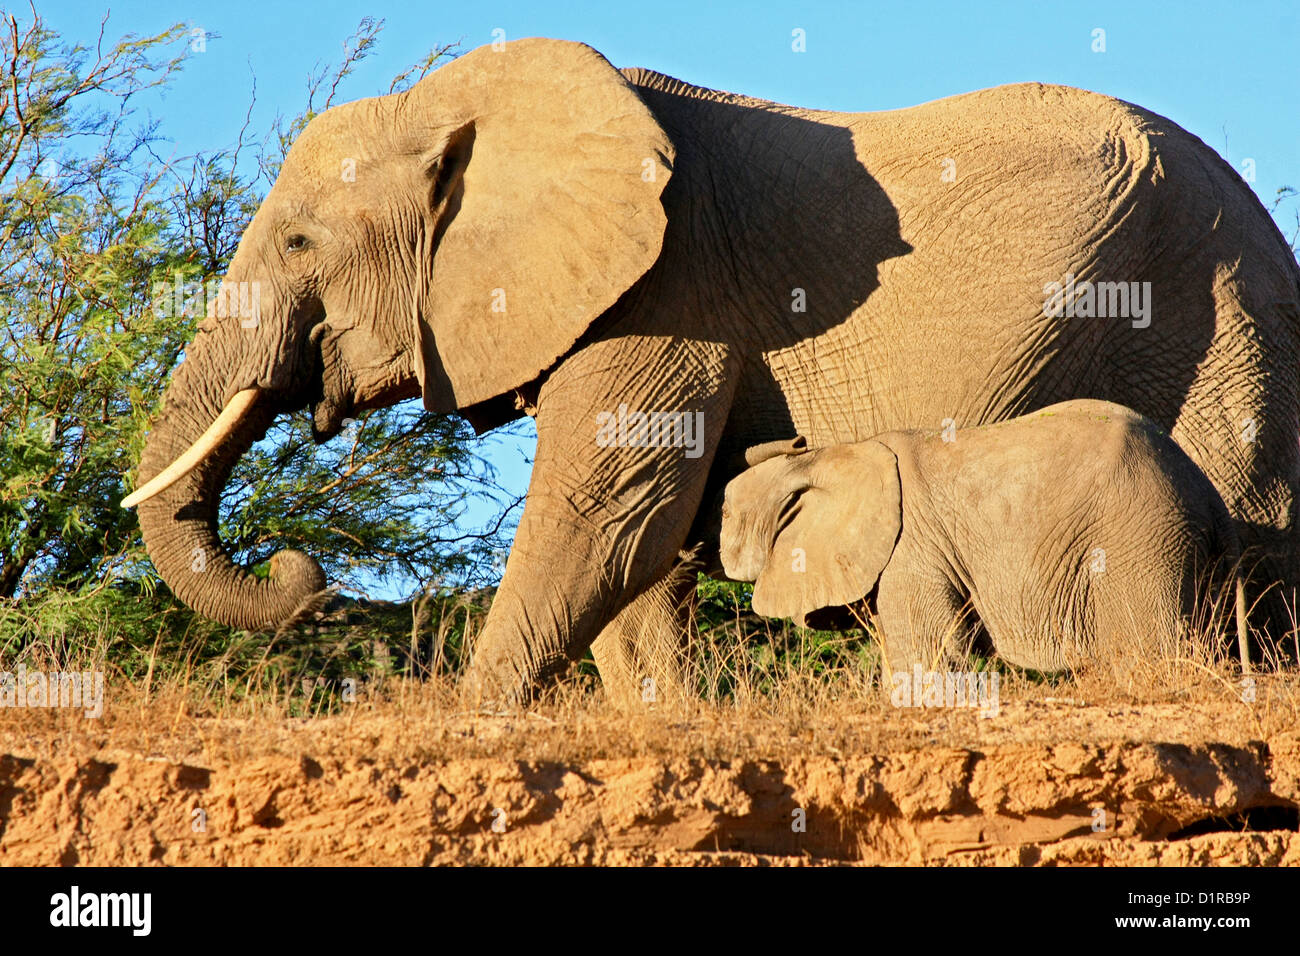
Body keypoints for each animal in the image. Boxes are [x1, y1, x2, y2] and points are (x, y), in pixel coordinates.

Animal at [717, 400, 1252, 676]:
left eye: (724, 511)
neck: (839, 452)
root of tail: (1209, 495)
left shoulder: (912, 551)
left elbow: (929, 656)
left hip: (1141, 541)